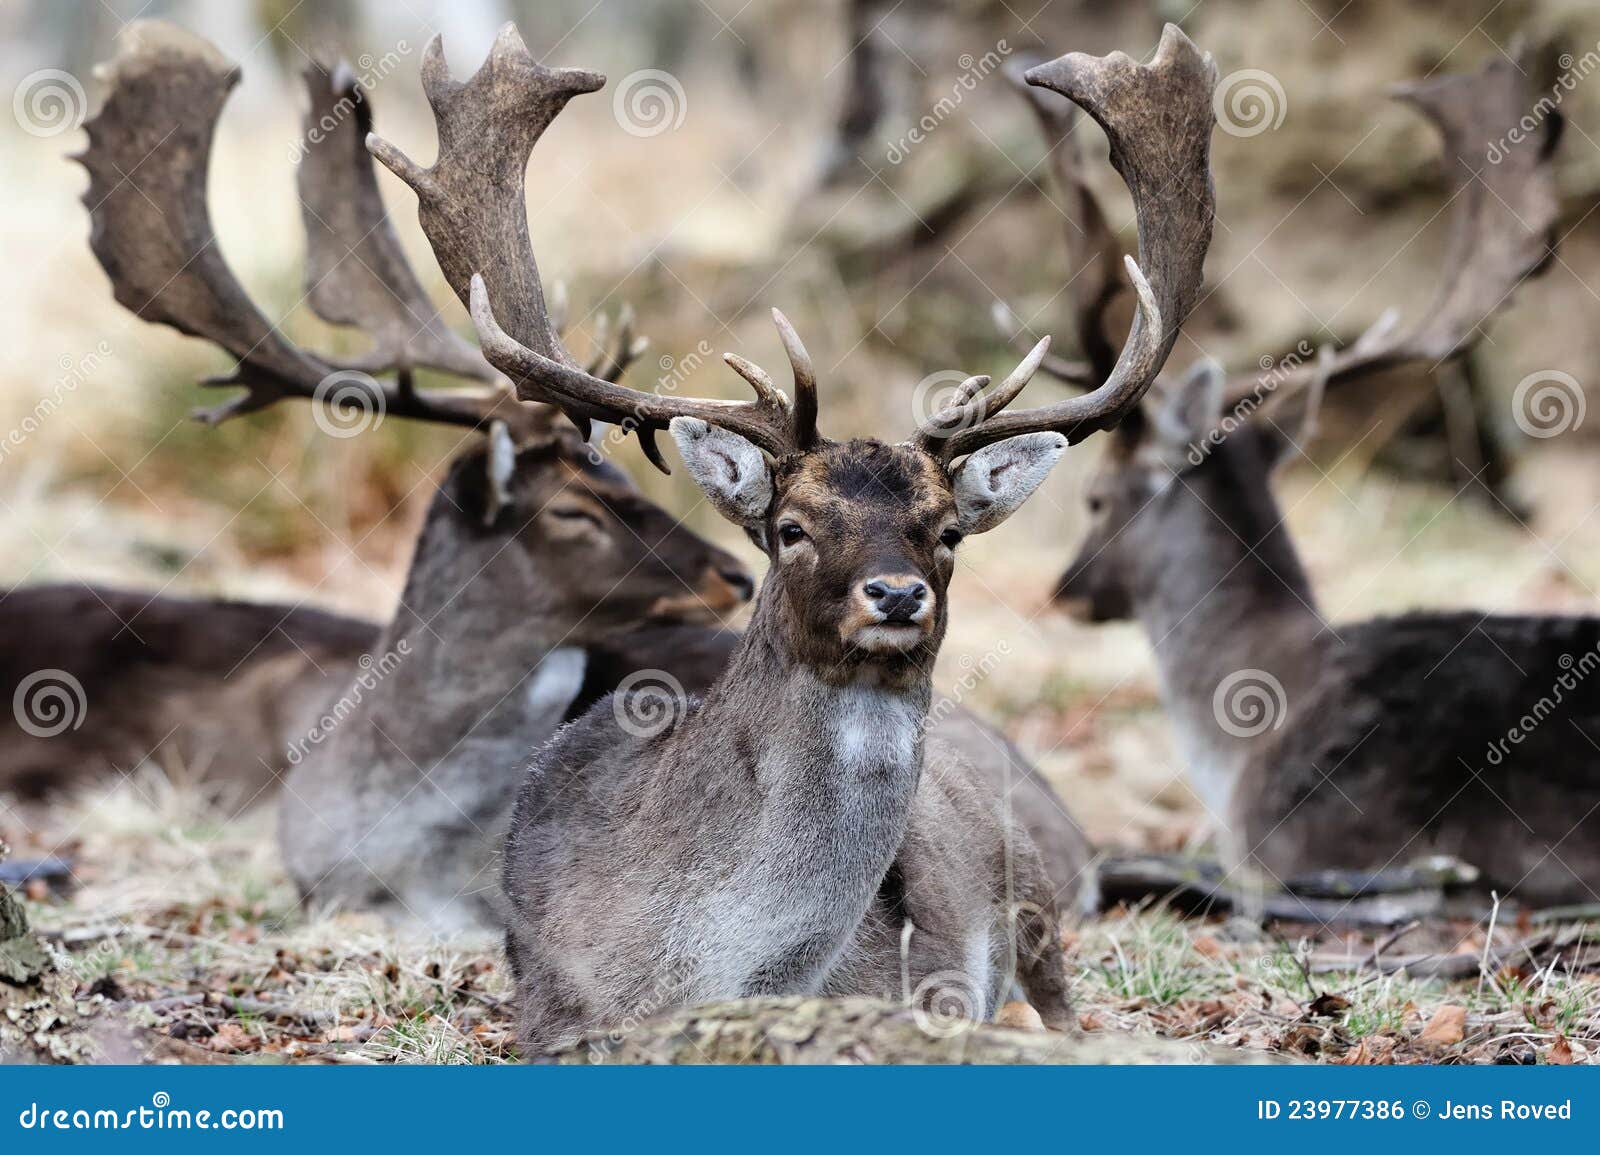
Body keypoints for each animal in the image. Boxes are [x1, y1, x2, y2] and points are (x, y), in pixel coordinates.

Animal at [361, 22, 1215, 1047]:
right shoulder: (548, 1012)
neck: (688, 970)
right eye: (791, 527)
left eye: (947, 532)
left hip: (1039, 892)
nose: (895, 592)